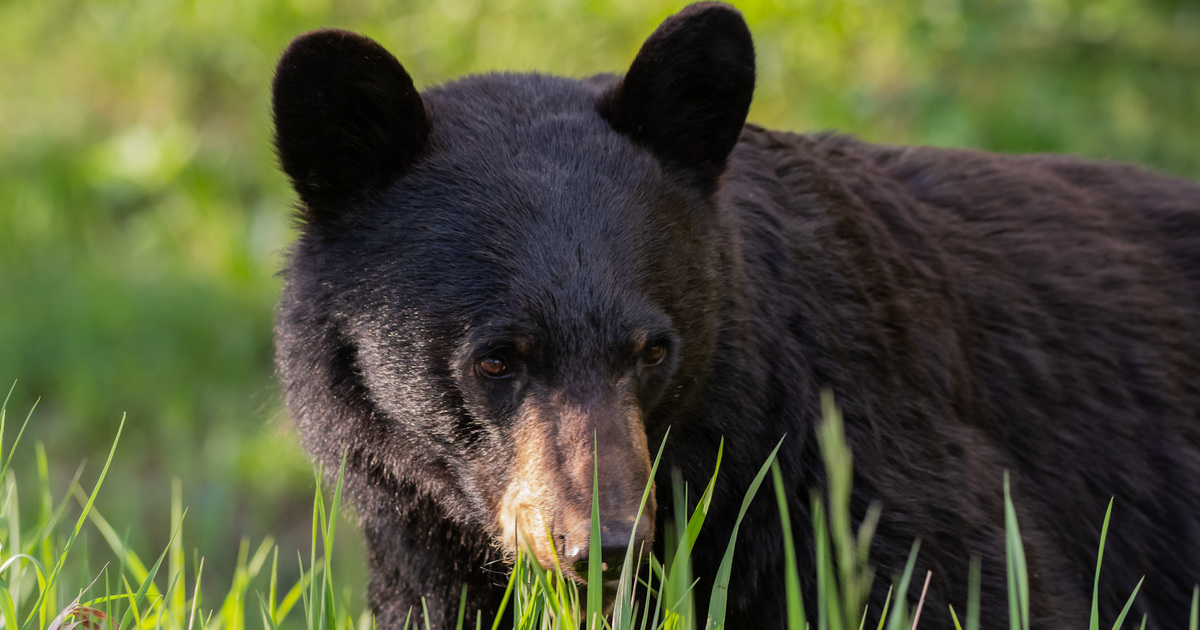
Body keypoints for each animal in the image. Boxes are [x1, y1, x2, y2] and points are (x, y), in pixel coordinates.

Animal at [271, 3, 1200, 629]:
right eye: (496, 358)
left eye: (652, 350)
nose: (603, 547)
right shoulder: (423, 539)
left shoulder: (862, 474)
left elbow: (979, 584)